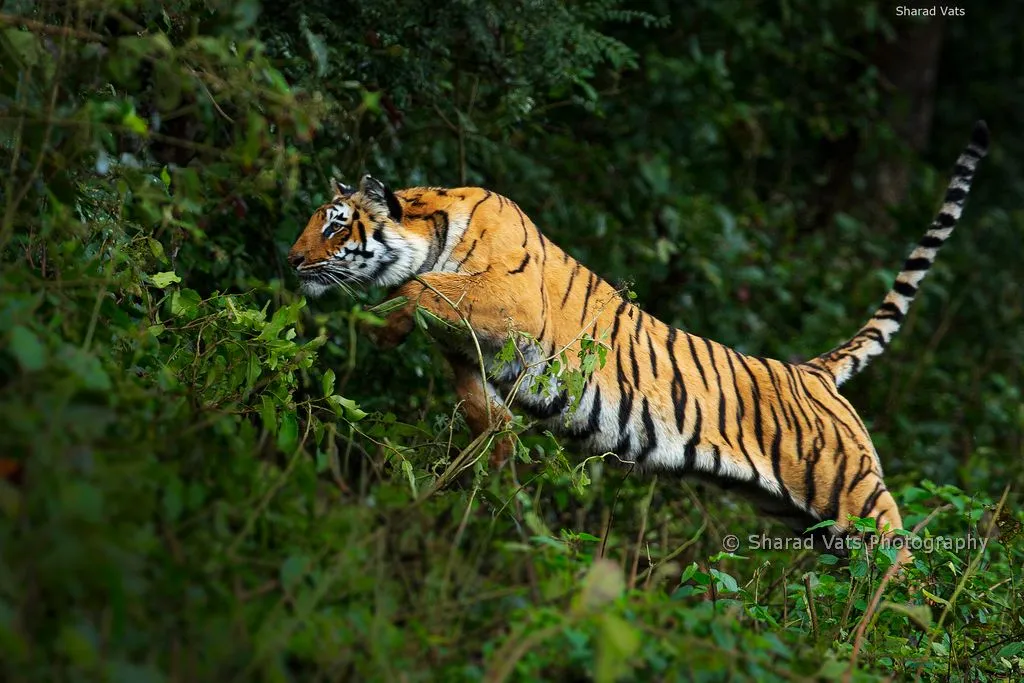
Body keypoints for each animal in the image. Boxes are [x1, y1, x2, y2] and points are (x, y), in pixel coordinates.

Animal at [287, 121, 989, 561]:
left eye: (335, 226)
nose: (291, 260)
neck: (434, 231)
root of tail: (813, 372)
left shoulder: (508, 303)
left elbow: (422, 287)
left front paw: (385, 329)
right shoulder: (471, 360)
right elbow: (480, 413)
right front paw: (494, 466)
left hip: (853, 497)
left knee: (905, 567)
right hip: (807, 521)